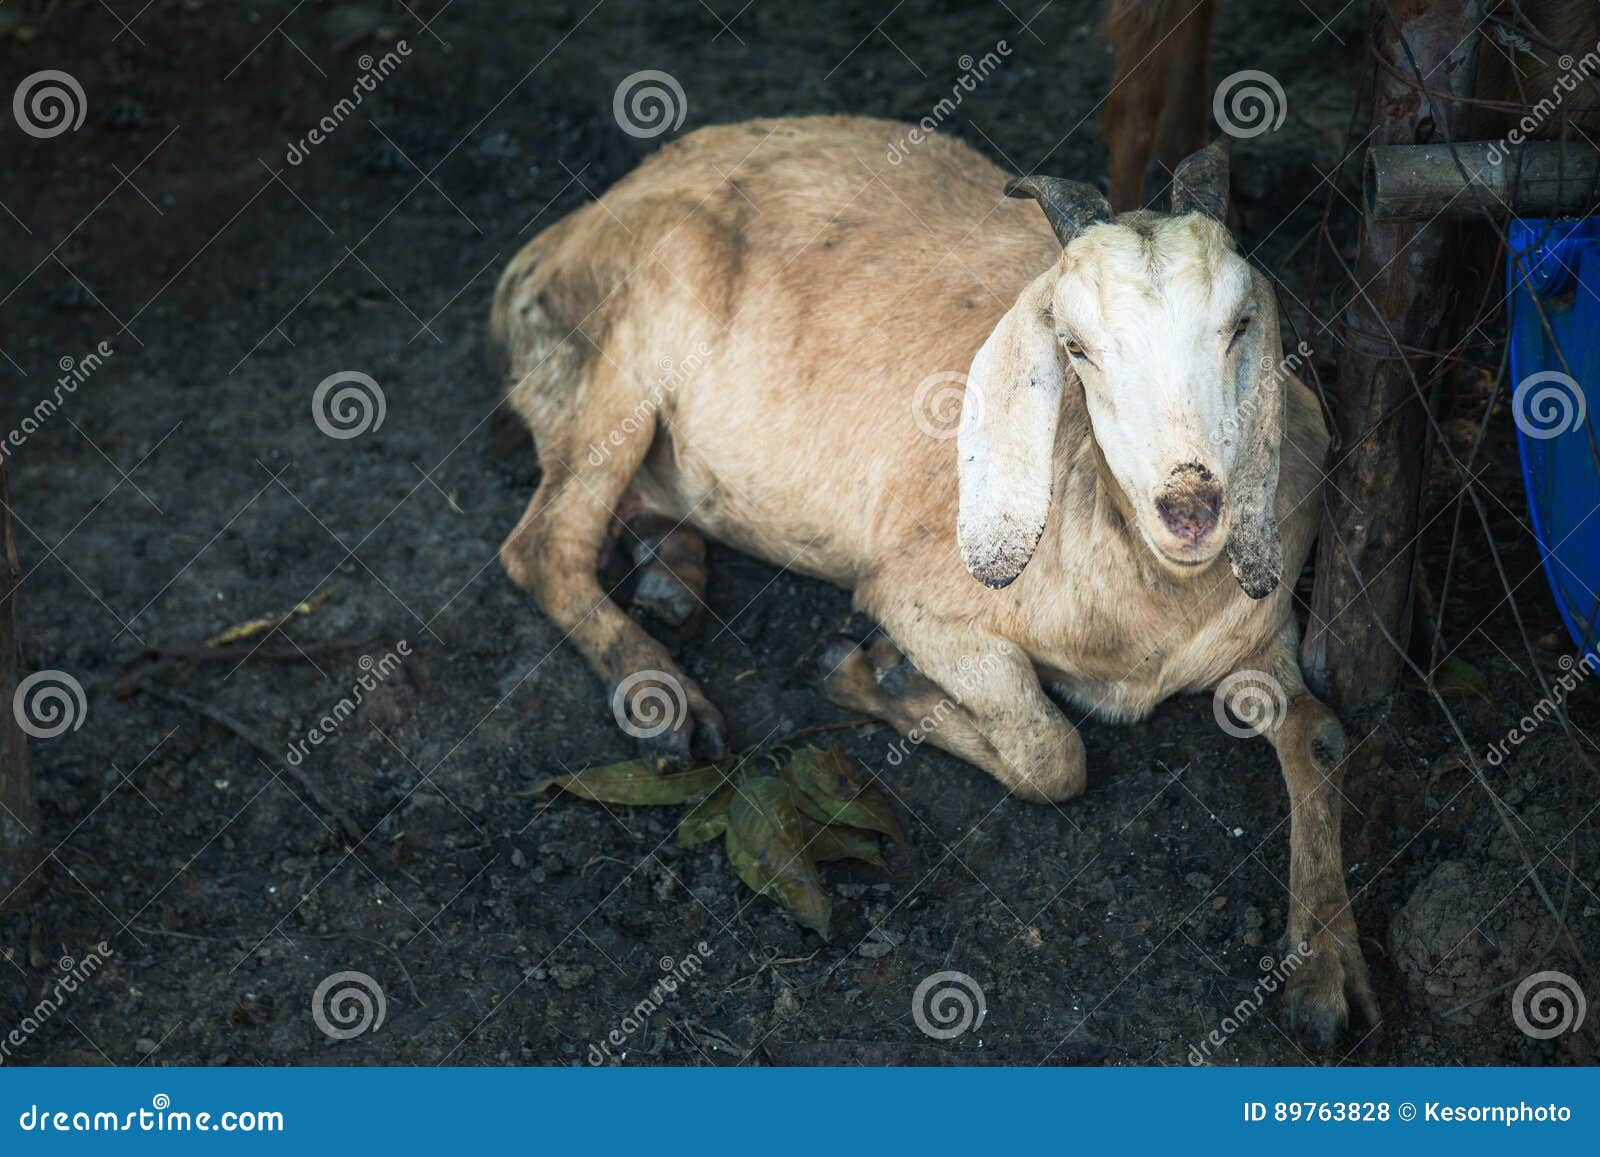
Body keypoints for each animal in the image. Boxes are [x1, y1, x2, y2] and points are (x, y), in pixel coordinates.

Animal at [491, 116, 1375, 1047]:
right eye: (1076, 347)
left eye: (1240, 324)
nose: (1192, 506)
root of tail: (571, 227)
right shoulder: (916, 598)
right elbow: (1052, 753)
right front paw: (869, 673)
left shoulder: (1258, 636)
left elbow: (1319, 730)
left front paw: (1326, 974)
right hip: (633, 341)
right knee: (544, 542)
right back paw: (662, 699)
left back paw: (672, 576)